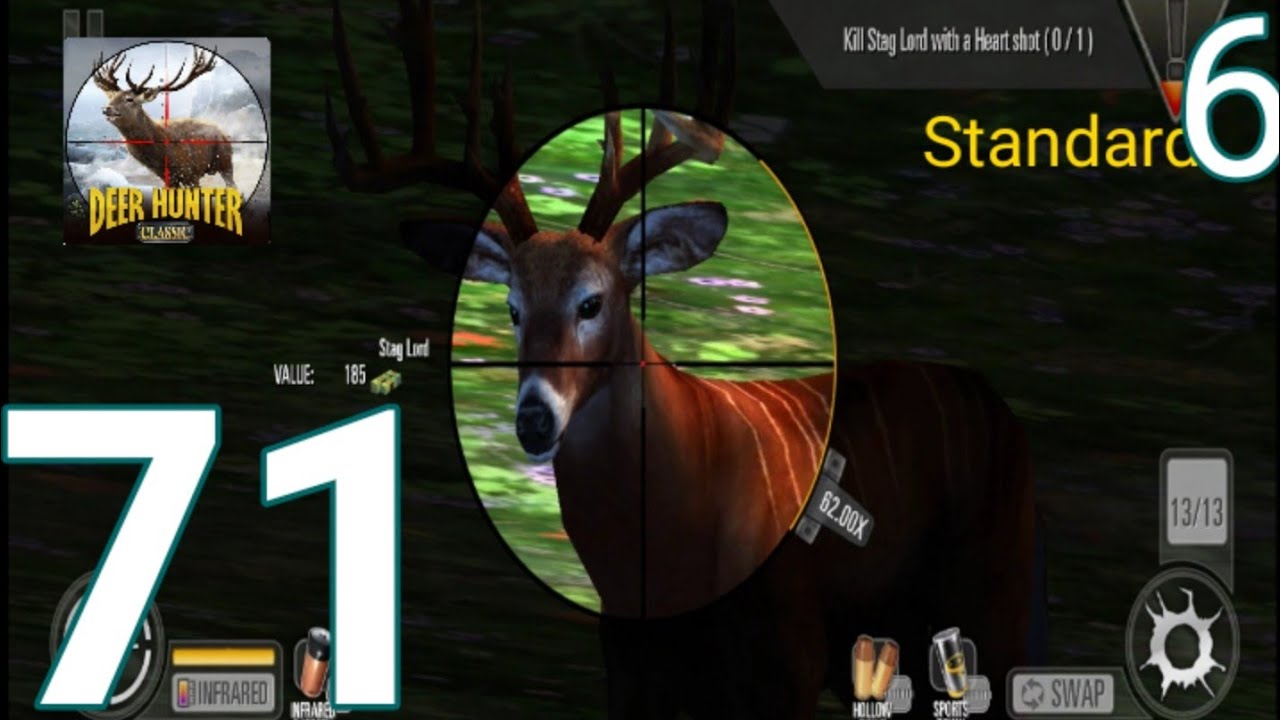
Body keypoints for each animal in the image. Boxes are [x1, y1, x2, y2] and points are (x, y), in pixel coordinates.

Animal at [90, 47, 235, 189]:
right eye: (112, 97)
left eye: (129, 99)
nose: (106, 109)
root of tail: (223, 133)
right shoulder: (168, 179)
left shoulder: (192, 173)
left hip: (225, 162)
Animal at [326, 1, 1048, 717]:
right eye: (511, 309)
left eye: (592, 302)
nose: (534, 419)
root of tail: (997, 403)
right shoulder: (628, 657)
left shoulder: (790, 647)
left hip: (995, 592)